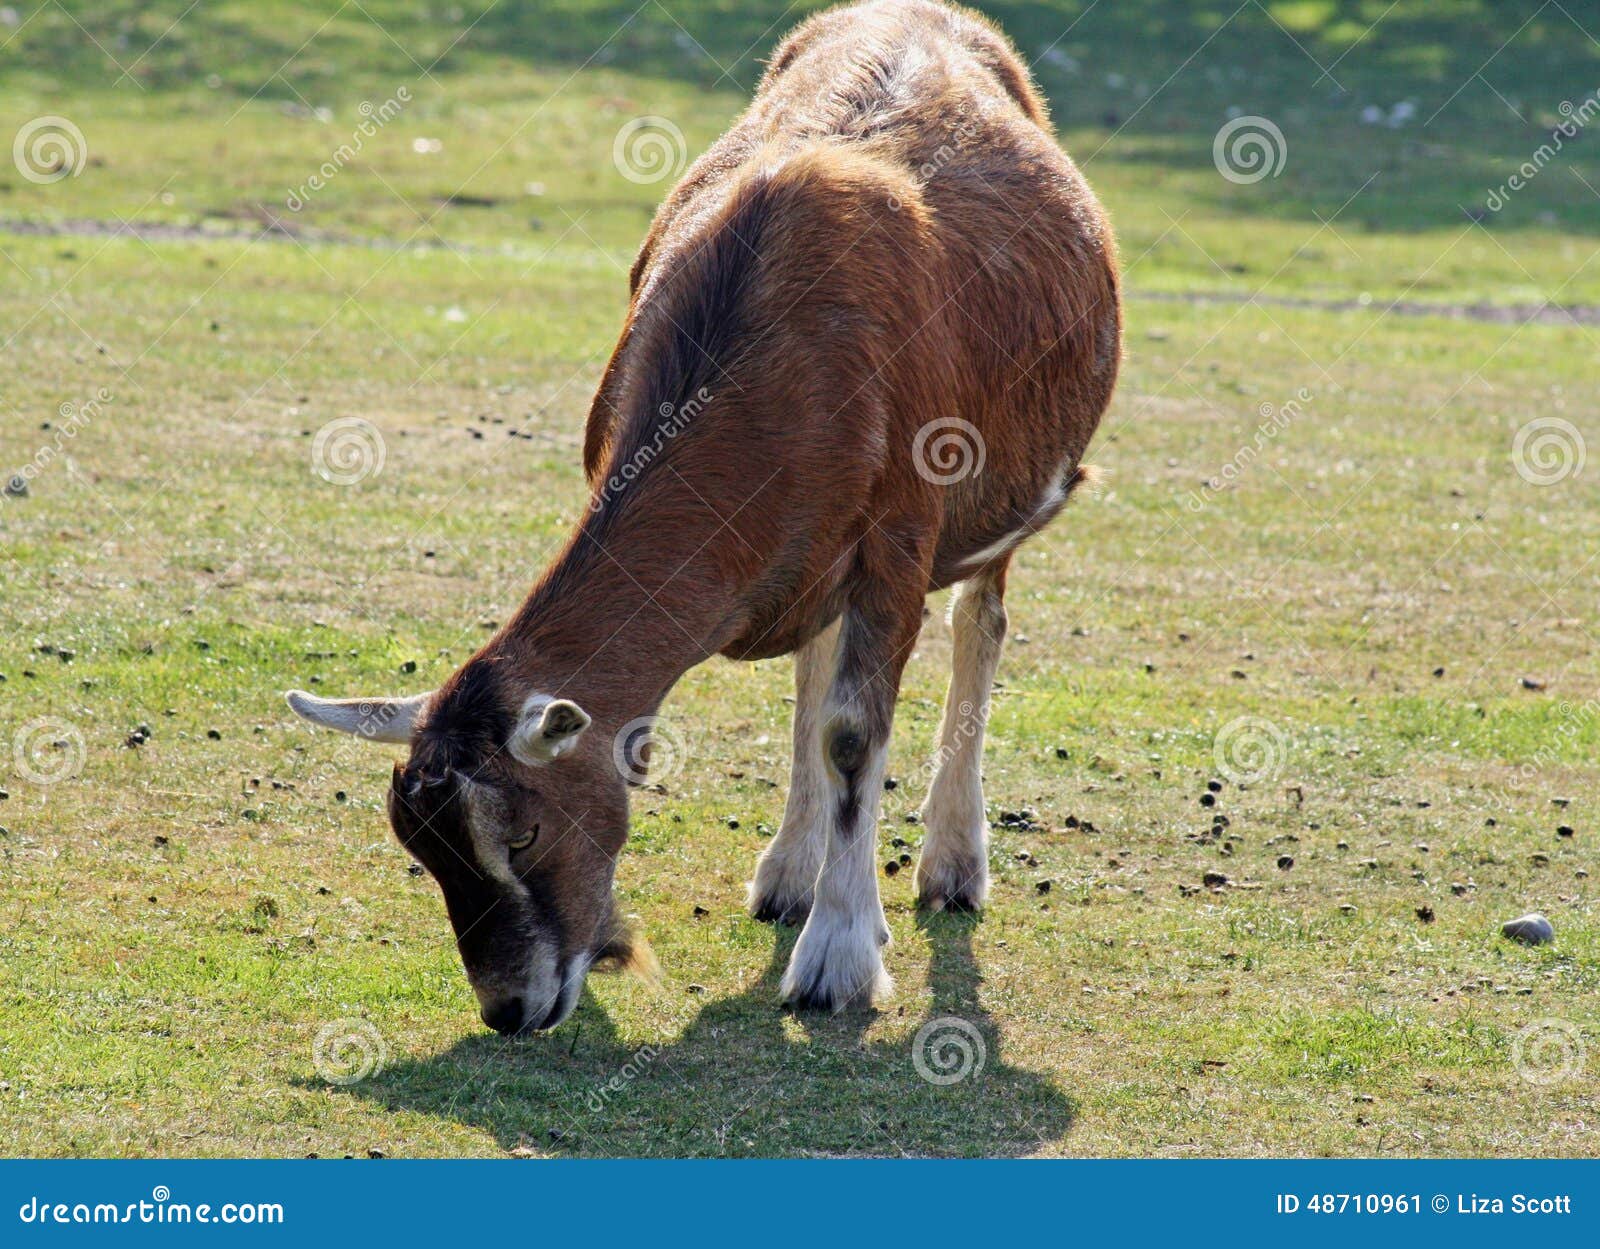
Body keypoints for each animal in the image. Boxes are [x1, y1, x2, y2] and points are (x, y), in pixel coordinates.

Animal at [288, 0, 1120, 1034]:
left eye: (522, 833)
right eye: (419, 846)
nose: (509, 1006)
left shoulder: (901, 532)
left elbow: (855, 731)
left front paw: (839, 959)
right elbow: (823, 700)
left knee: (982, 621)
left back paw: (953, 864)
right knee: (816, 659)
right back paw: (789, 872)